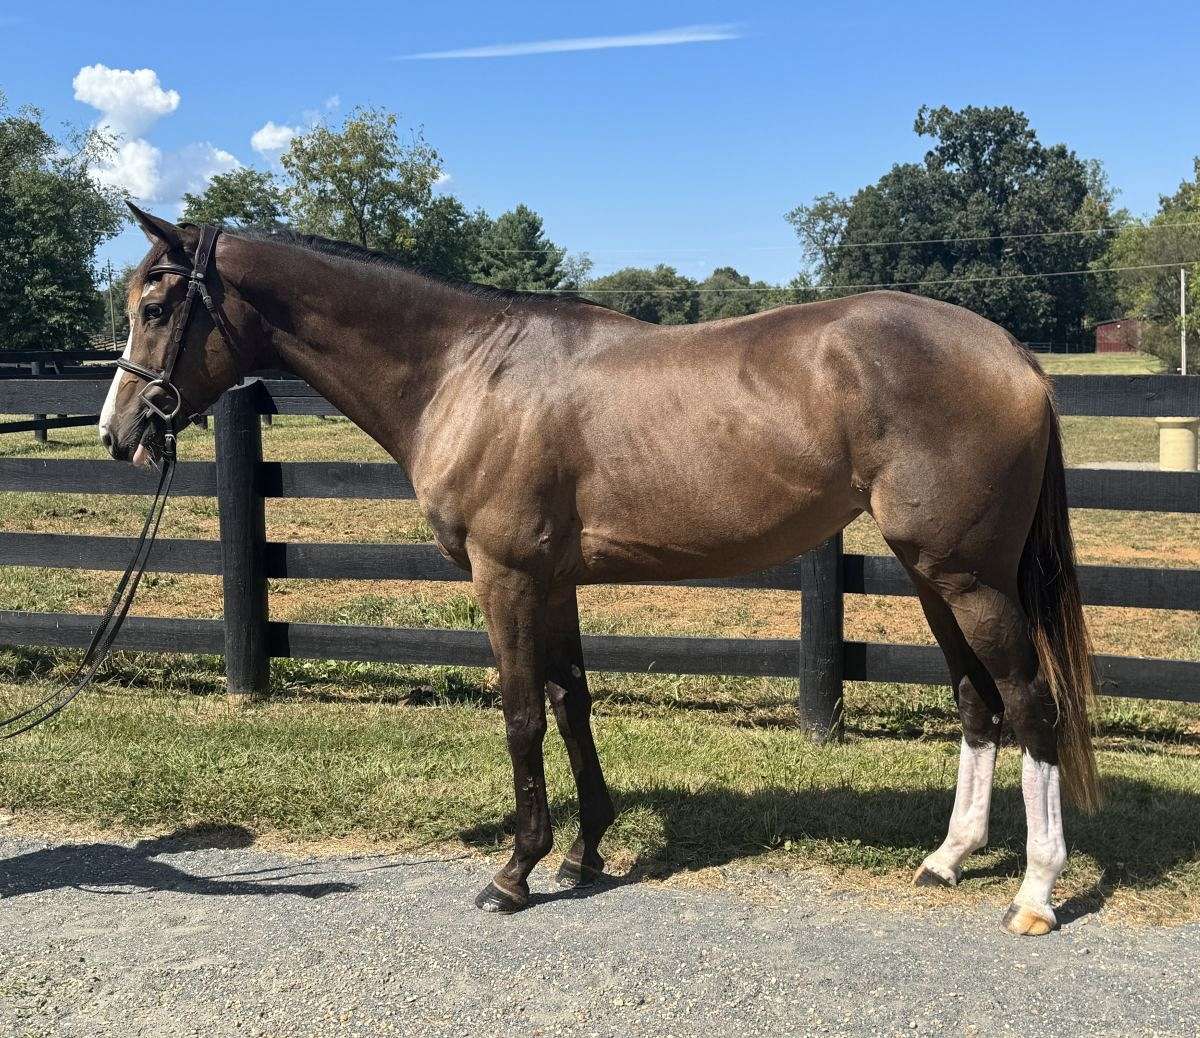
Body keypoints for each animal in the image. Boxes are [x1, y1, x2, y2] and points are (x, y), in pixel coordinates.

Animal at [100, 204, 1099, 936]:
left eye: (158, 308)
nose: (119, 433)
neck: (468, 368)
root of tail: (1010, 352)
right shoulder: (555, 582)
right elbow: (571, 700)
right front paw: (585, 854)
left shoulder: (504, 577)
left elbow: (520, 716)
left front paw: (514, 870)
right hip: (933, 577)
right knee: (978, 704)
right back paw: (949, 858)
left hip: (968, 579)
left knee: (1032, 704)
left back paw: (1035, 893)